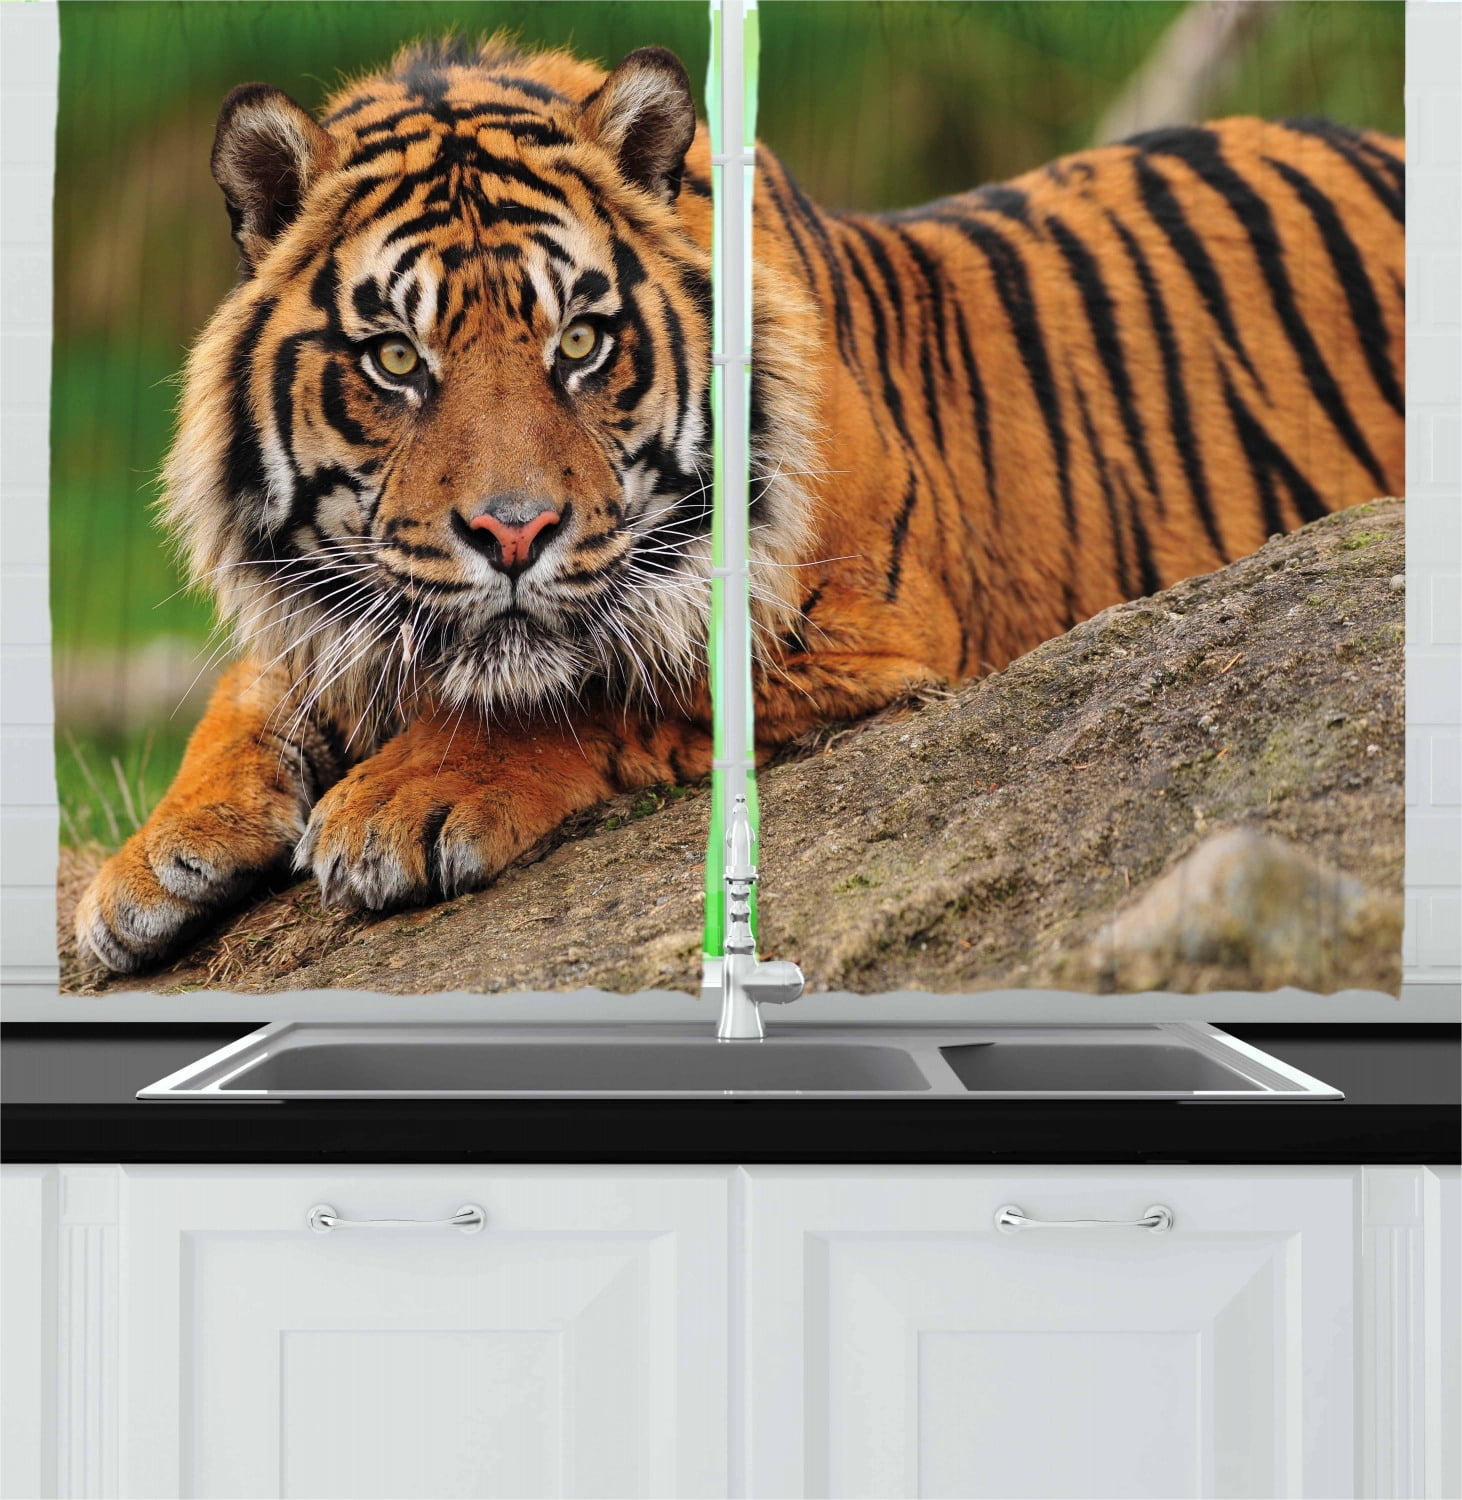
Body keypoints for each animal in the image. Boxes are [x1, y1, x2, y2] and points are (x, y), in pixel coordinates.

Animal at [73, 35, 1405, 974]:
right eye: (397, 358)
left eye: (581, 342)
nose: (512, 534)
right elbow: (260, 688)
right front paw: (149, 867)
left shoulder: (861, 639)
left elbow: (593, 685)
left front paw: (401, 801)